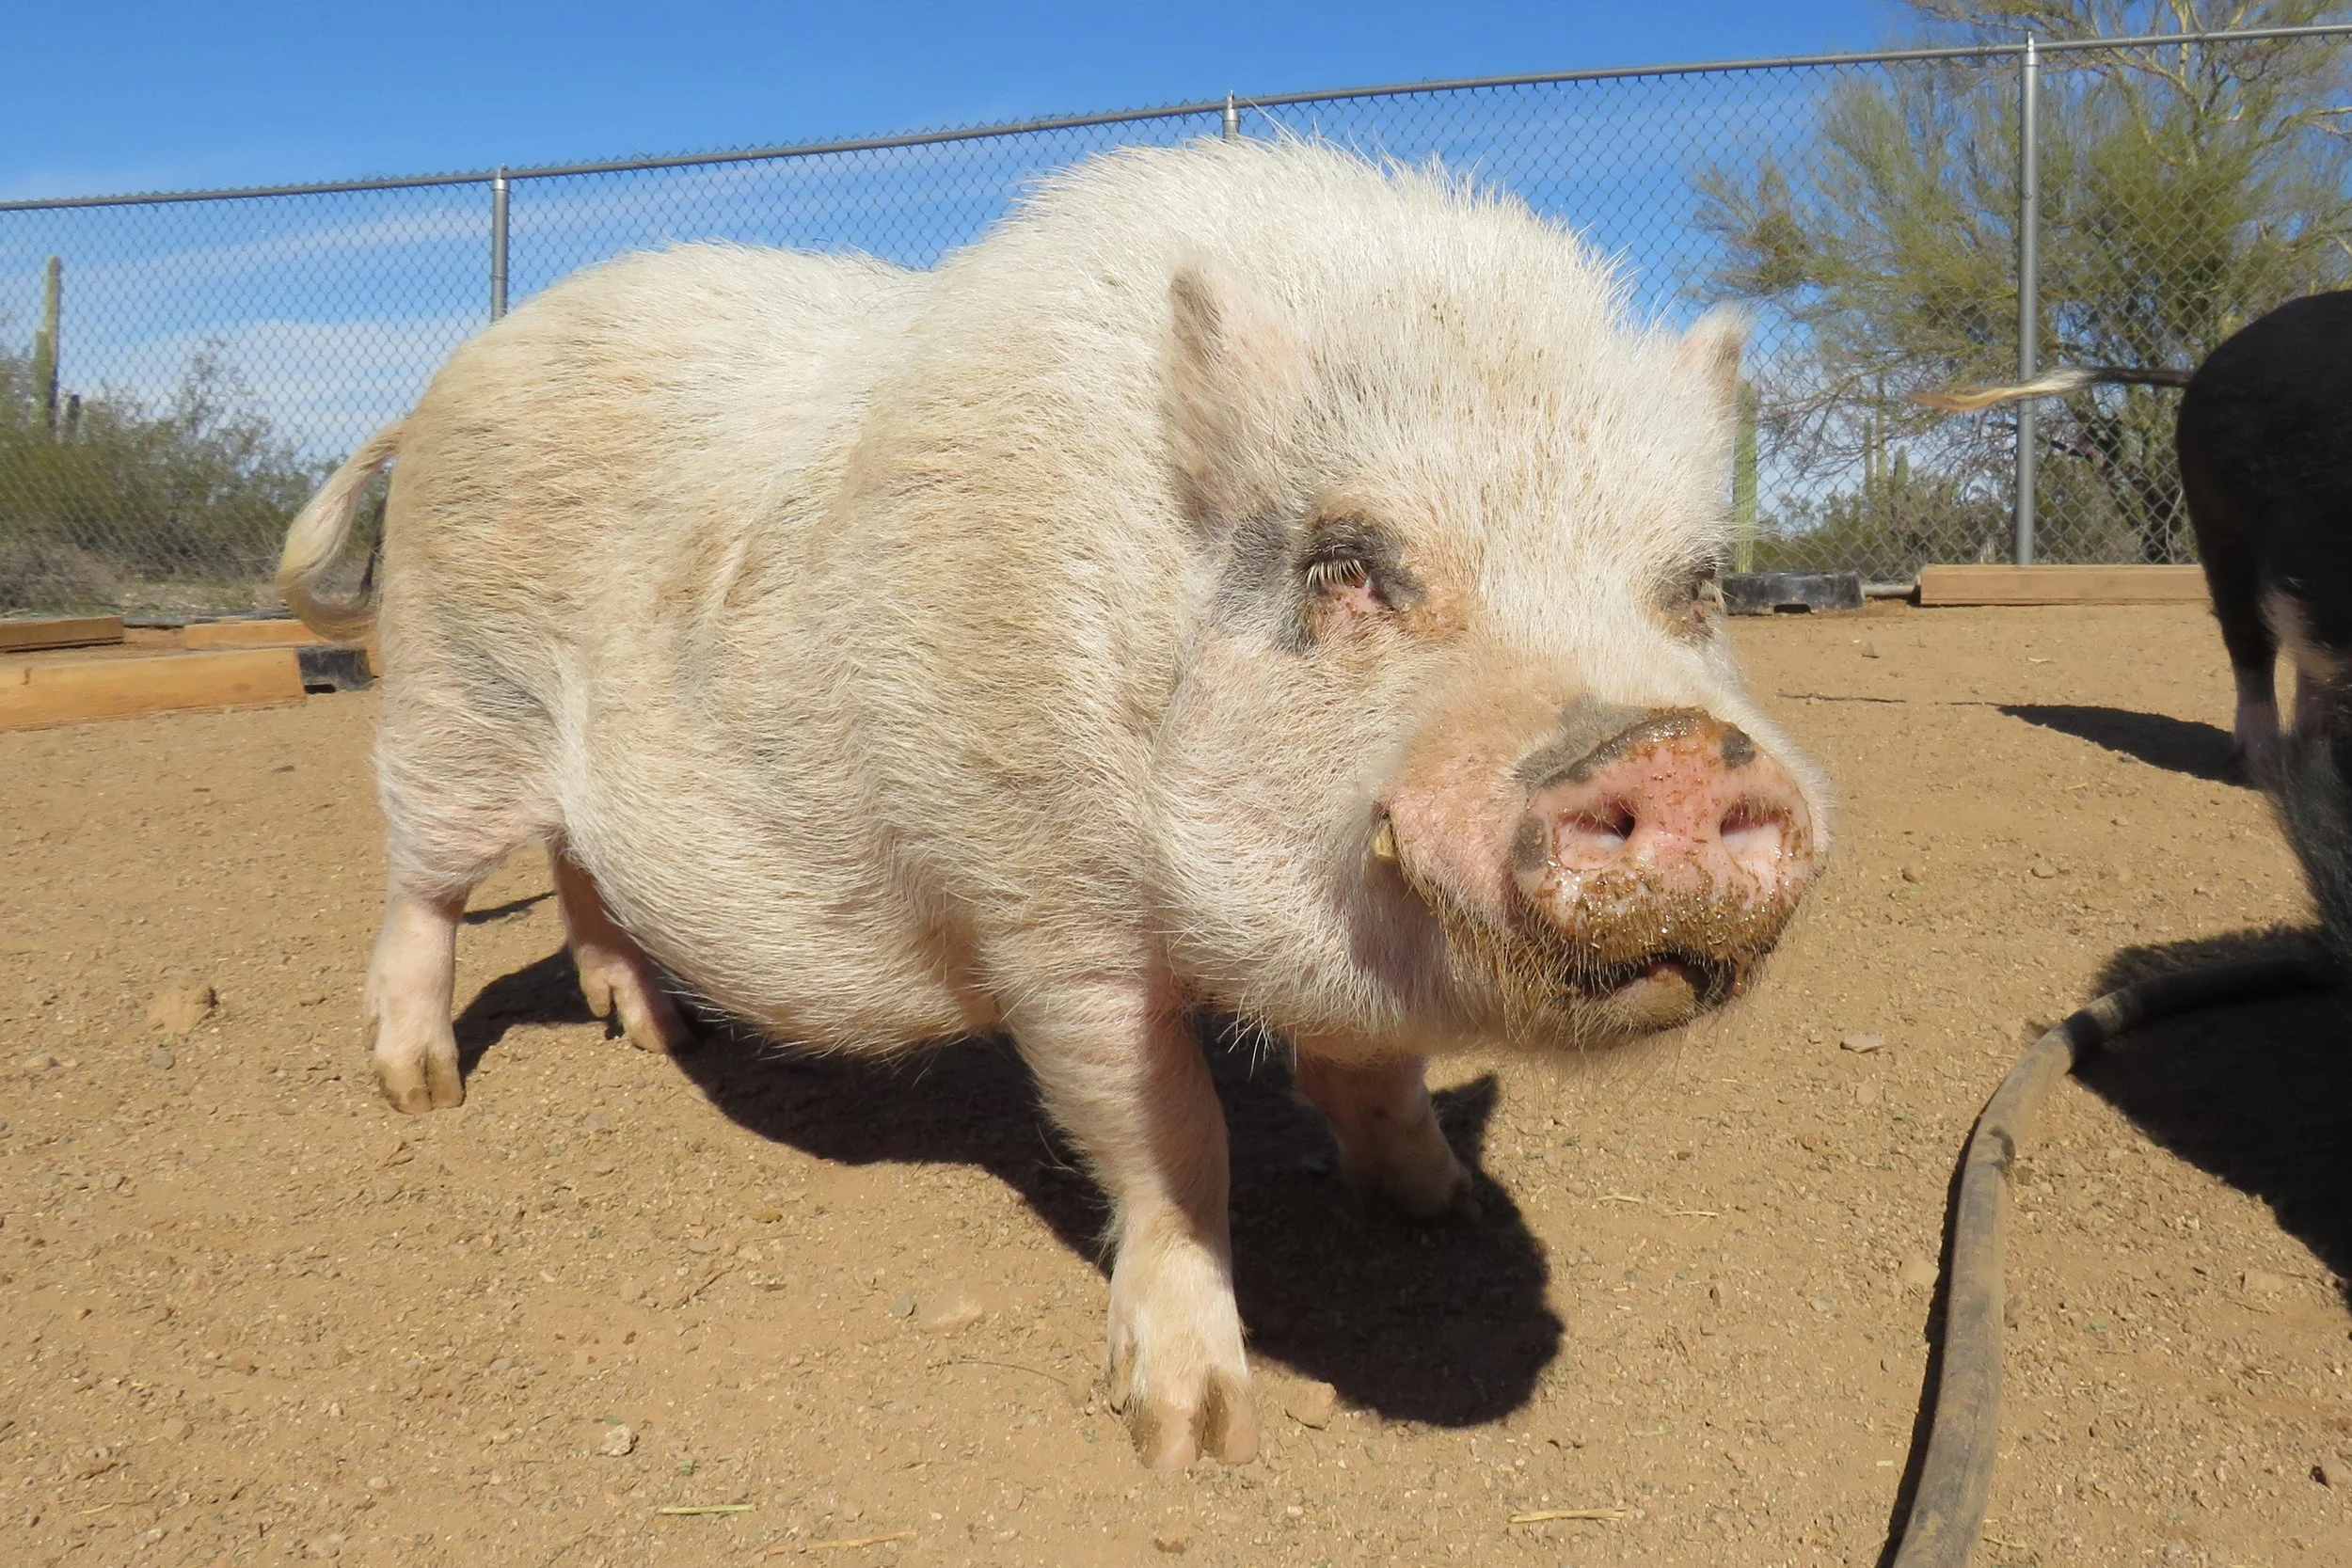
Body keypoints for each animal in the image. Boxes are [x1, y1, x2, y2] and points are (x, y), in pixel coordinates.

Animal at [278, 138, 1824, 1468]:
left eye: (1698, 587)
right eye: (1346, 563)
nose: (1672, 747)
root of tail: (444, 379)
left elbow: (1374, 1061)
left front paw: (1441, 1204)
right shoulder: (1048, 904)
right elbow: (1174, 1140)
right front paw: (1191, 1434)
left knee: (584, 865)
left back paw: (657, 1033)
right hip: (453, 693)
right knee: (424, 884)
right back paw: (418, 1086)